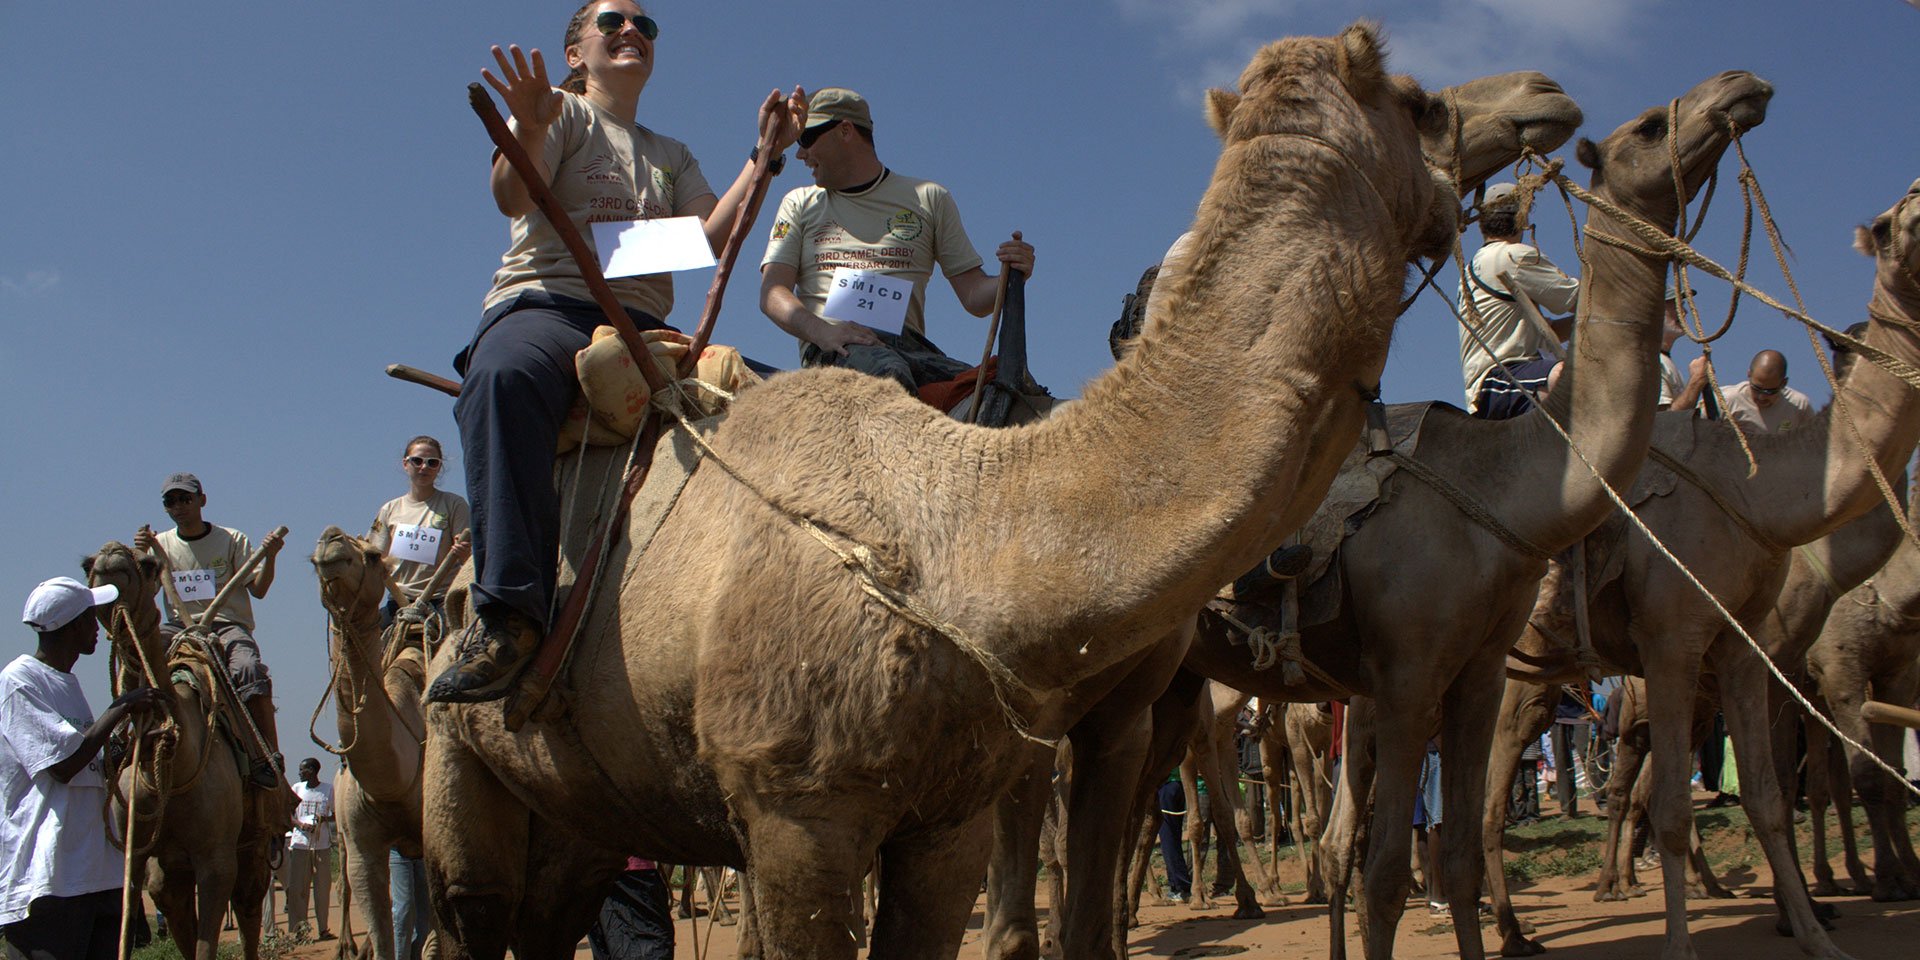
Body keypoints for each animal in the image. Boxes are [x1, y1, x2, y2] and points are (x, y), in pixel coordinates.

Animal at [84, 541, 276, 960]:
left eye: (146, 565)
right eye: (87, 566)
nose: (109, 557)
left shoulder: (217, 860)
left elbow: (207, 943)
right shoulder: (136, 852)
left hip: (254, 841)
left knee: (249, 905)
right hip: (173, 867)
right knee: (172, 901)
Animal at [310, 527, 436, 960]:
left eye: (373, 556)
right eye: (313, 558)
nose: (330, 539)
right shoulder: (361, 846)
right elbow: (383, 933)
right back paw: (347, 945)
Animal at [425, 25, 1466, 960]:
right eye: (1421, 103)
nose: (1476, 140)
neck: (953, 541)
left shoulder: (951, 818)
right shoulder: (795, 812)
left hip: (585, 813)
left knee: (553, 908)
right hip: (460, 759)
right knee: (476, 907)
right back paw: (487, 653)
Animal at [1479, 178, 1920, 960]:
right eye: (1901, 222)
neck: (1751, 497)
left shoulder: (1745, 649)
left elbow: (1773, 798)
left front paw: (1817, 931)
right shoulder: (1678, 639)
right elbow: (1678, 807)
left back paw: (1515, 925)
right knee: (1485, 808)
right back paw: (1509, 927)